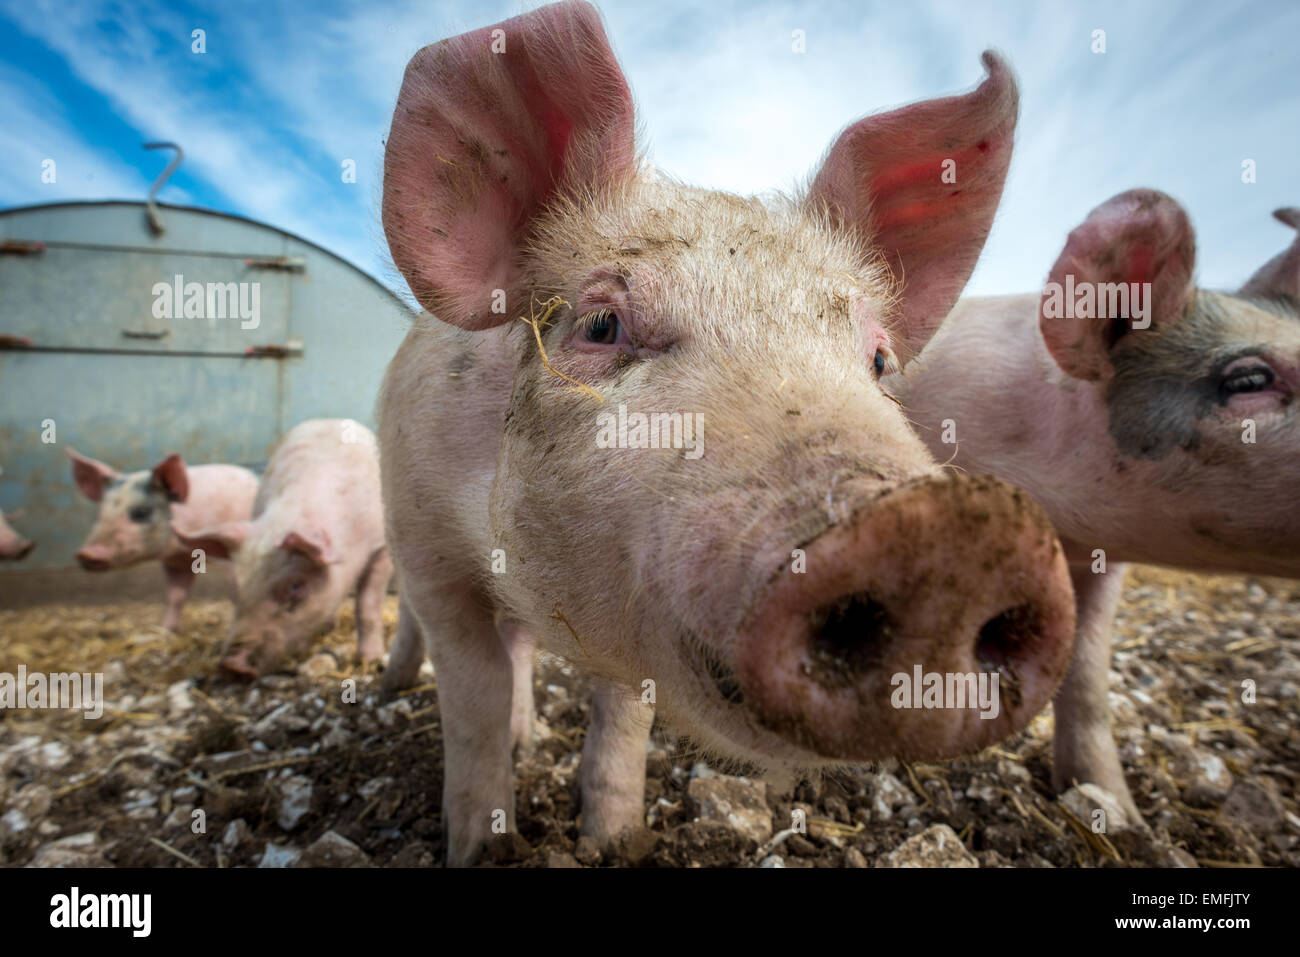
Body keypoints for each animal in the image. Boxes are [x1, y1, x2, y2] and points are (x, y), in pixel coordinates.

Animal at [67, 447, 258, 629]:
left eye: (140, 513)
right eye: (100, 513)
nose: (86, 554)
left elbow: (239, 595)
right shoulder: (177, 561)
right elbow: (176, 596)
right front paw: (166, 629)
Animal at [171, 418, 390, 681]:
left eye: (295, 586)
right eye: (236, 589)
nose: (233, 663)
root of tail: (327, 419)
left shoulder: (380, 547)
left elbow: (367, 607)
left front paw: (371, 660)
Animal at [374, 0, 1076, 868]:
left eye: (879, 359)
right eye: (600, 325)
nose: (951, 529)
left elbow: (621, 716)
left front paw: (615, 840)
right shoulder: (427, 545)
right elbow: (471, 693)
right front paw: (477, 848)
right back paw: (396, 690)